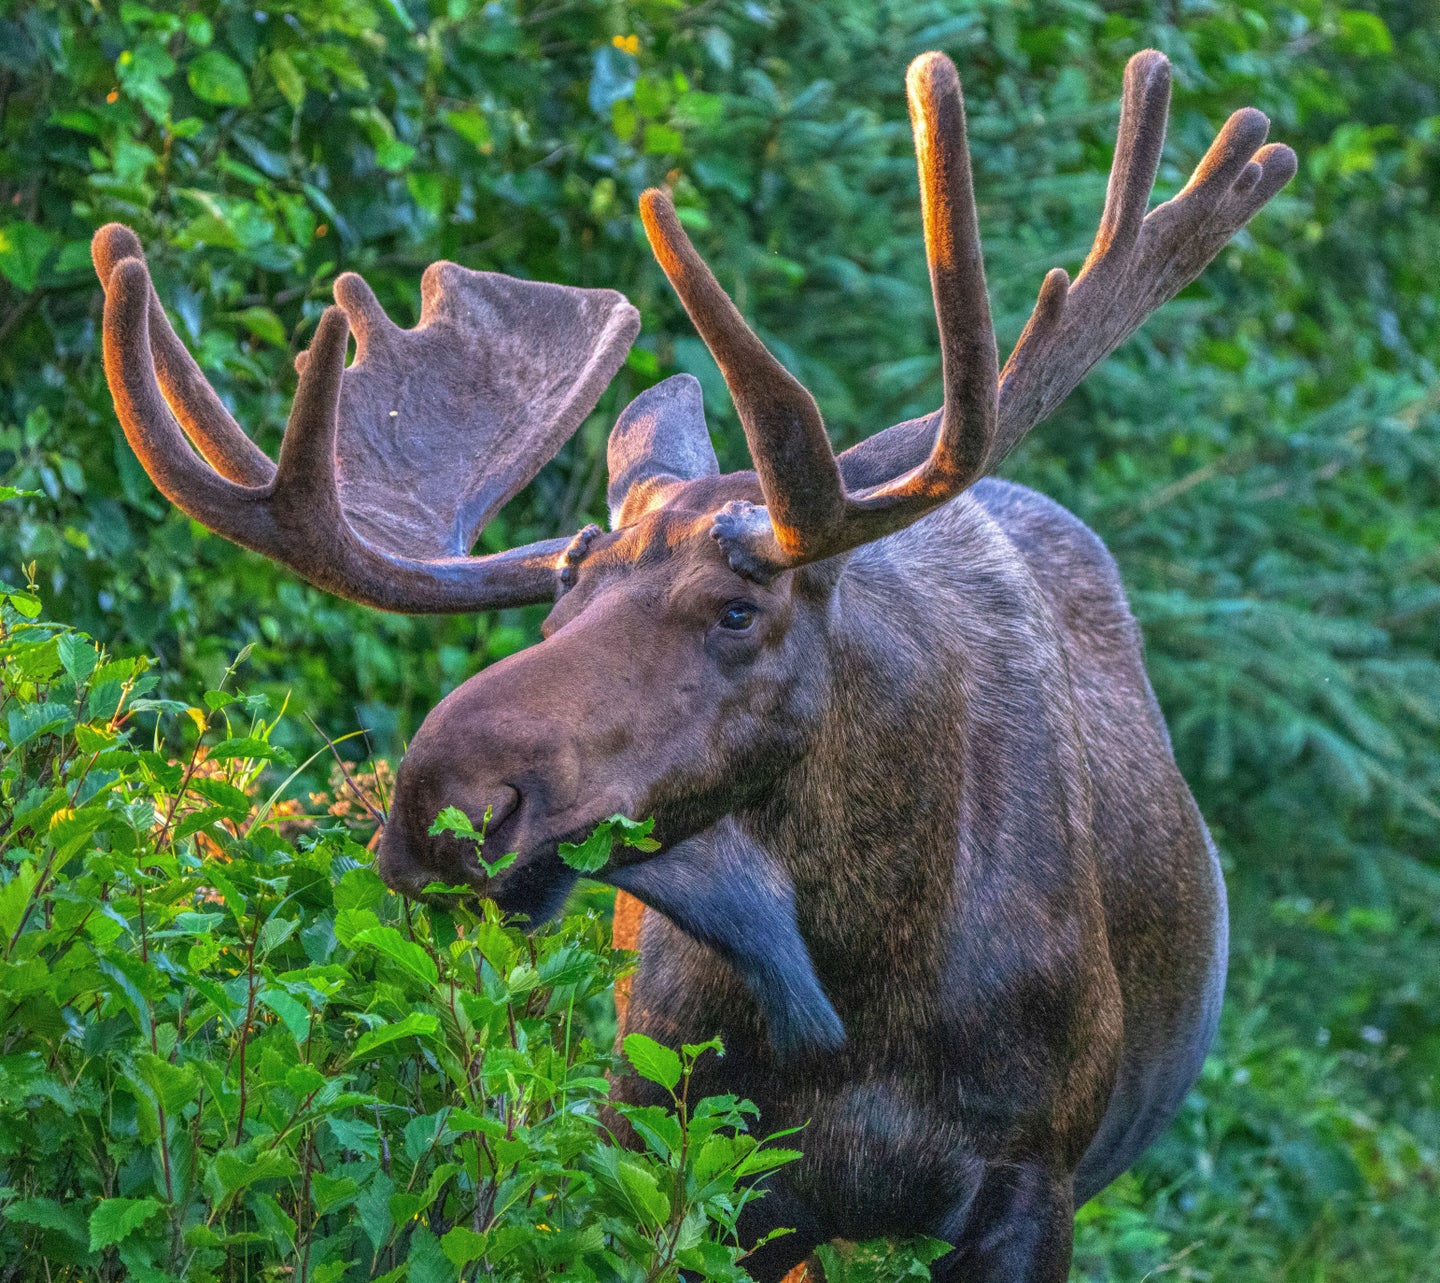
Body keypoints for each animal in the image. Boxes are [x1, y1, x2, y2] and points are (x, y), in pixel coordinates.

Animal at [90, 49, 1294, 1282]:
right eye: (561, 600)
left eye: (735, 609)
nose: (443, 805)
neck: (862, 991)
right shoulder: (681, 1153)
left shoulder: (1032, 1173)